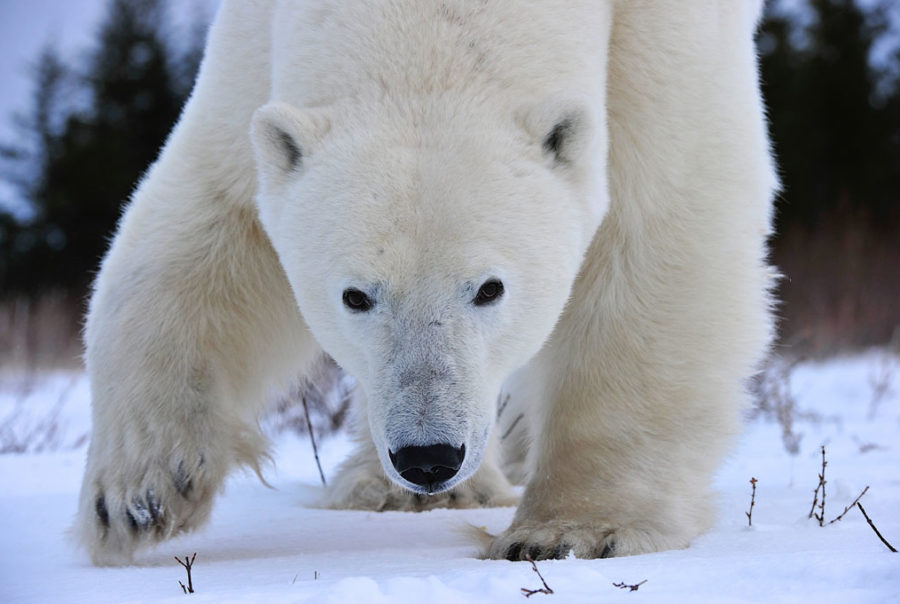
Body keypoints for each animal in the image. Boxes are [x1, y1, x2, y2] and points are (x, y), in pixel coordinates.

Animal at [75, 0, 777, 566]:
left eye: (490, 288)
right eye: (355, 296)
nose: (429, 456)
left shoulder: (665, 42)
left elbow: (660, 231)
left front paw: (571, 530)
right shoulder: (252, 46)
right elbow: (202, 224)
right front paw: (140, 494)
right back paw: (388, 488)